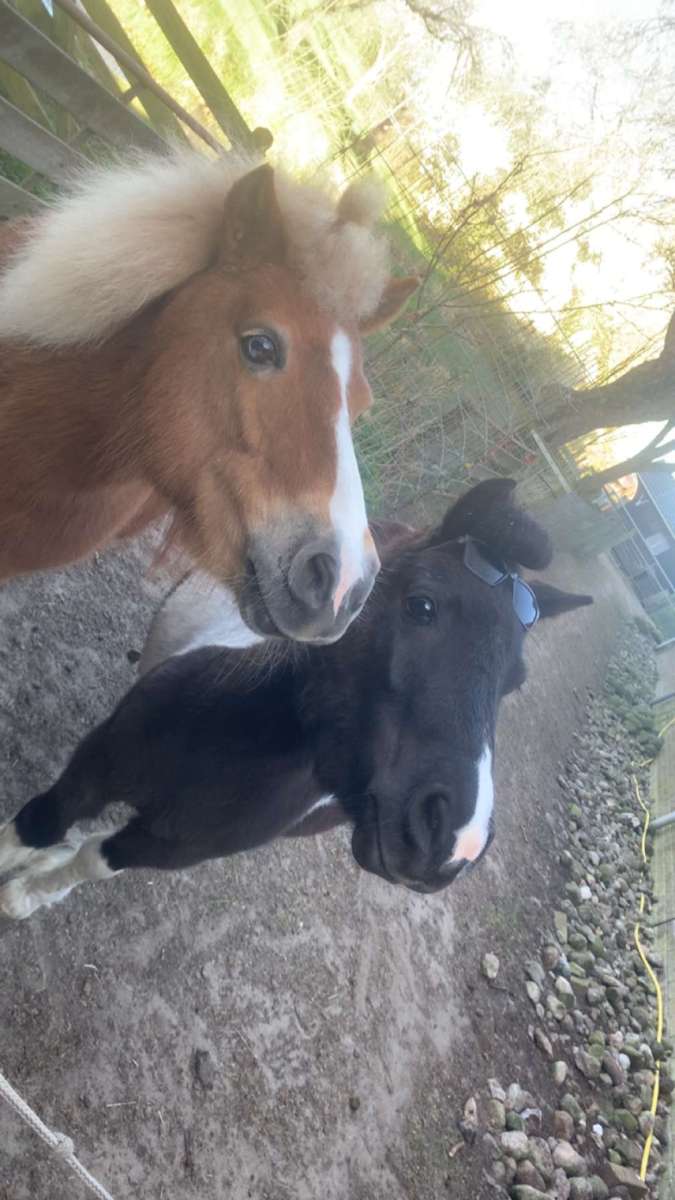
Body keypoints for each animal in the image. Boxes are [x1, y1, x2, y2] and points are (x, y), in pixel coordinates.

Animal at [0, 479, 592, 919]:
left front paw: (30, 892)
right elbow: (43, 821)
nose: (456, 841)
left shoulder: (165, 846)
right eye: (421, 606)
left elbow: (93, 858)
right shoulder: (97, 763)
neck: (225, 748)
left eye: (514, 680)